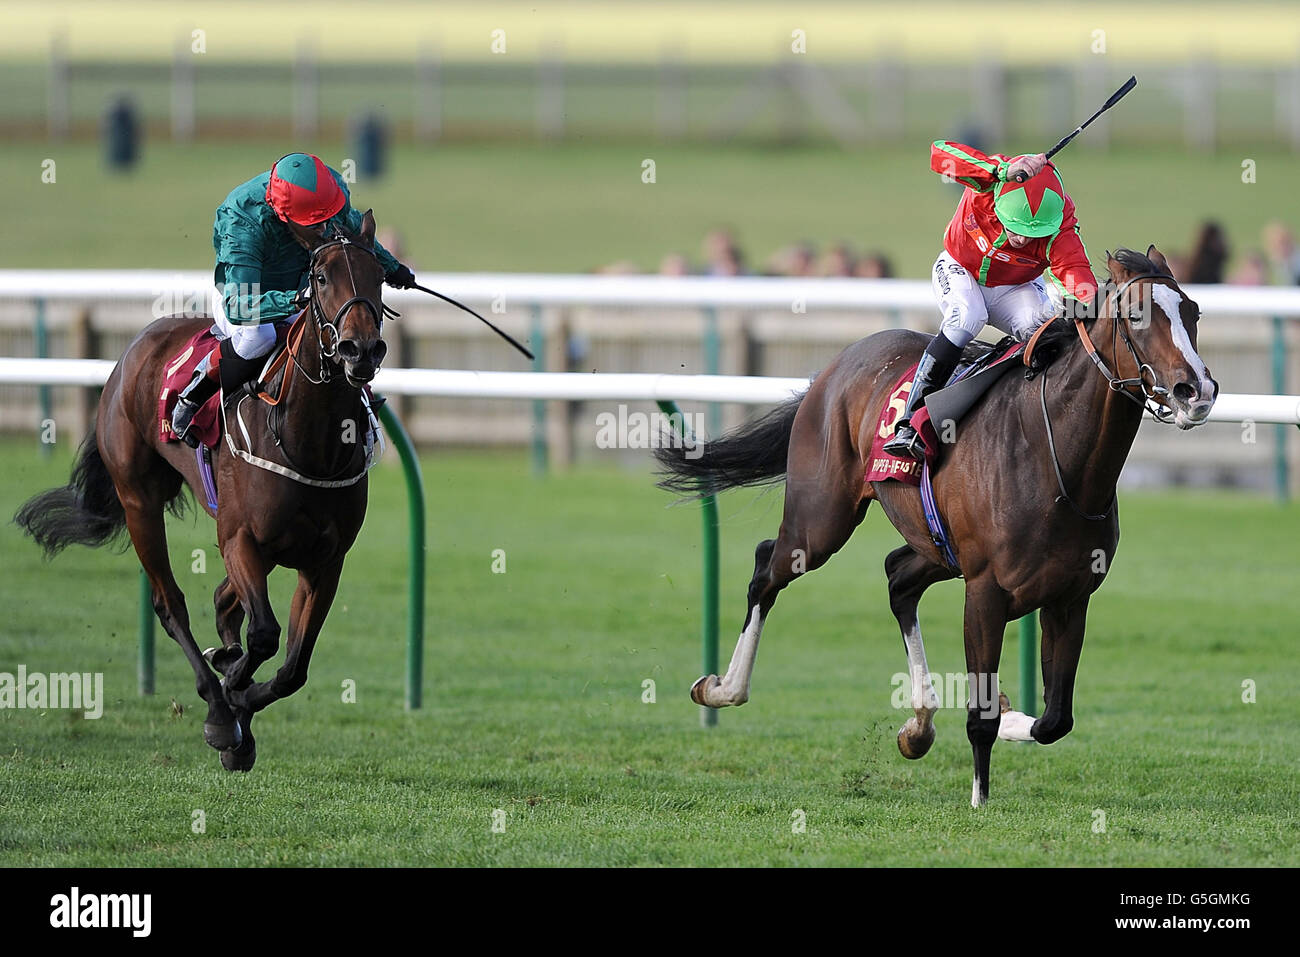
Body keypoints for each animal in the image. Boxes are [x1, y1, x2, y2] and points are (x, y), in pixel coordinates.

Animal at [15, 212, 390, 771]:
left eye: (380, 275)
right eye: (321, 277)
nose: (360, 349)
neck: (309, 443)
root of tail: (141, 341)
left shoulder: (325, 560)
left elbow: (293, 666)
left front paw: (242, 704)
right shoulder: (240, 539)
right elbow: (264, 636)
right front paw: (229, 699)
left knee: (222, 603)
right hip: (138, 499)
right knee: (172, 604)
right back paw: (216, 706)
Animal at [656, 246, 1219, 806]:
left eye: (1192, 312)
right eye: (1139, 318)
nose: (1198, 391)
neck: (1059, 460)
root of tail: (836, 366)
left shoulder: (1070, 595)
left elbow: (1056, 719)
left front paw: (1011, 716)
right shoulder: (985, 591)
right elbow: (981, 717)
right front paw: (980, 799)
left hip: (934, 546)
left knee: (896, 577)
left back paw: (918, 725)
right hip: (820, 521)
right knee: (766, 568)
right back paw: (721, 688)